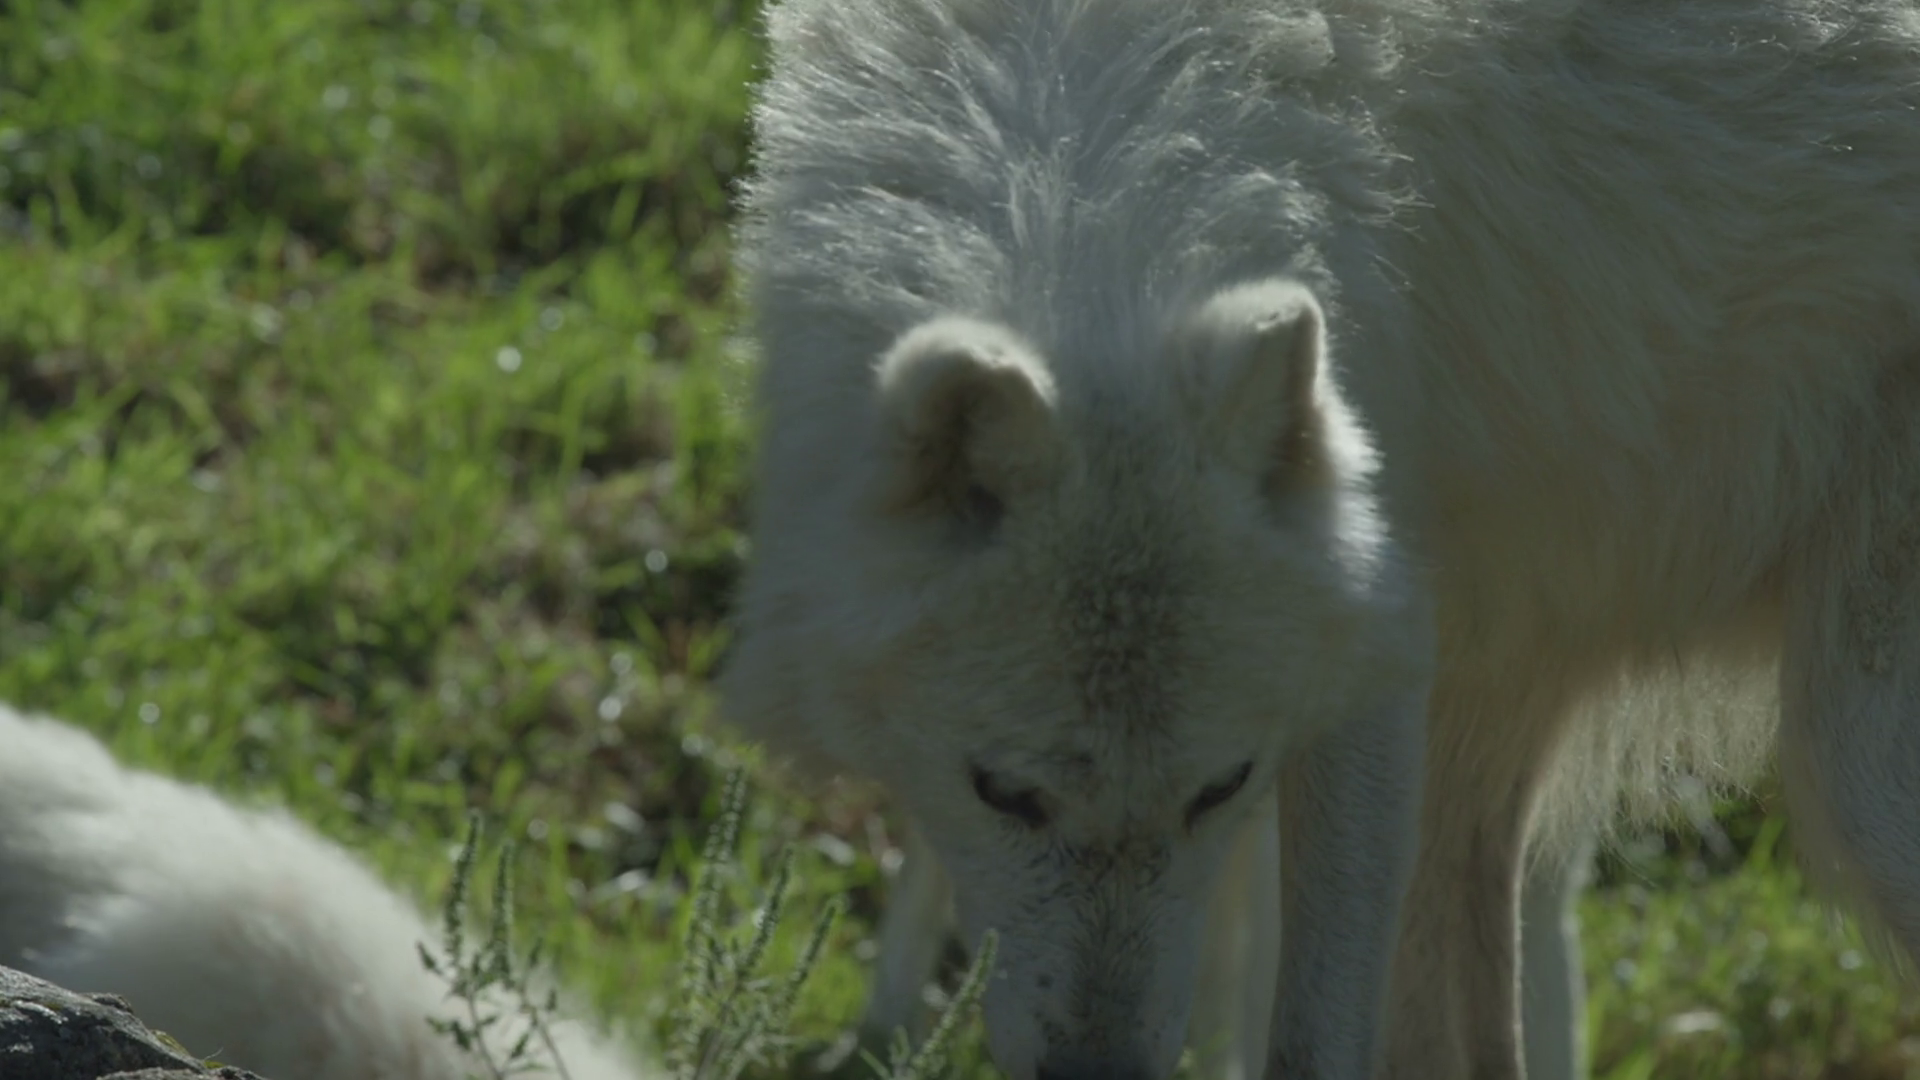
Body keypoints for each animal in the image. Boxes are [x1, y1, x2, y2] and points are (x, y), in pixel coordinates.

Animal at [721, 0, 1920, 1077]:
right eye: (1005, 794)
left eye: (1219, 786)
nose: (1099, 1072)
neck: (1072, 147)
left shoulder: (1379, 670)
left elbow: (1310, 1032)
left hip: (1852, 764)